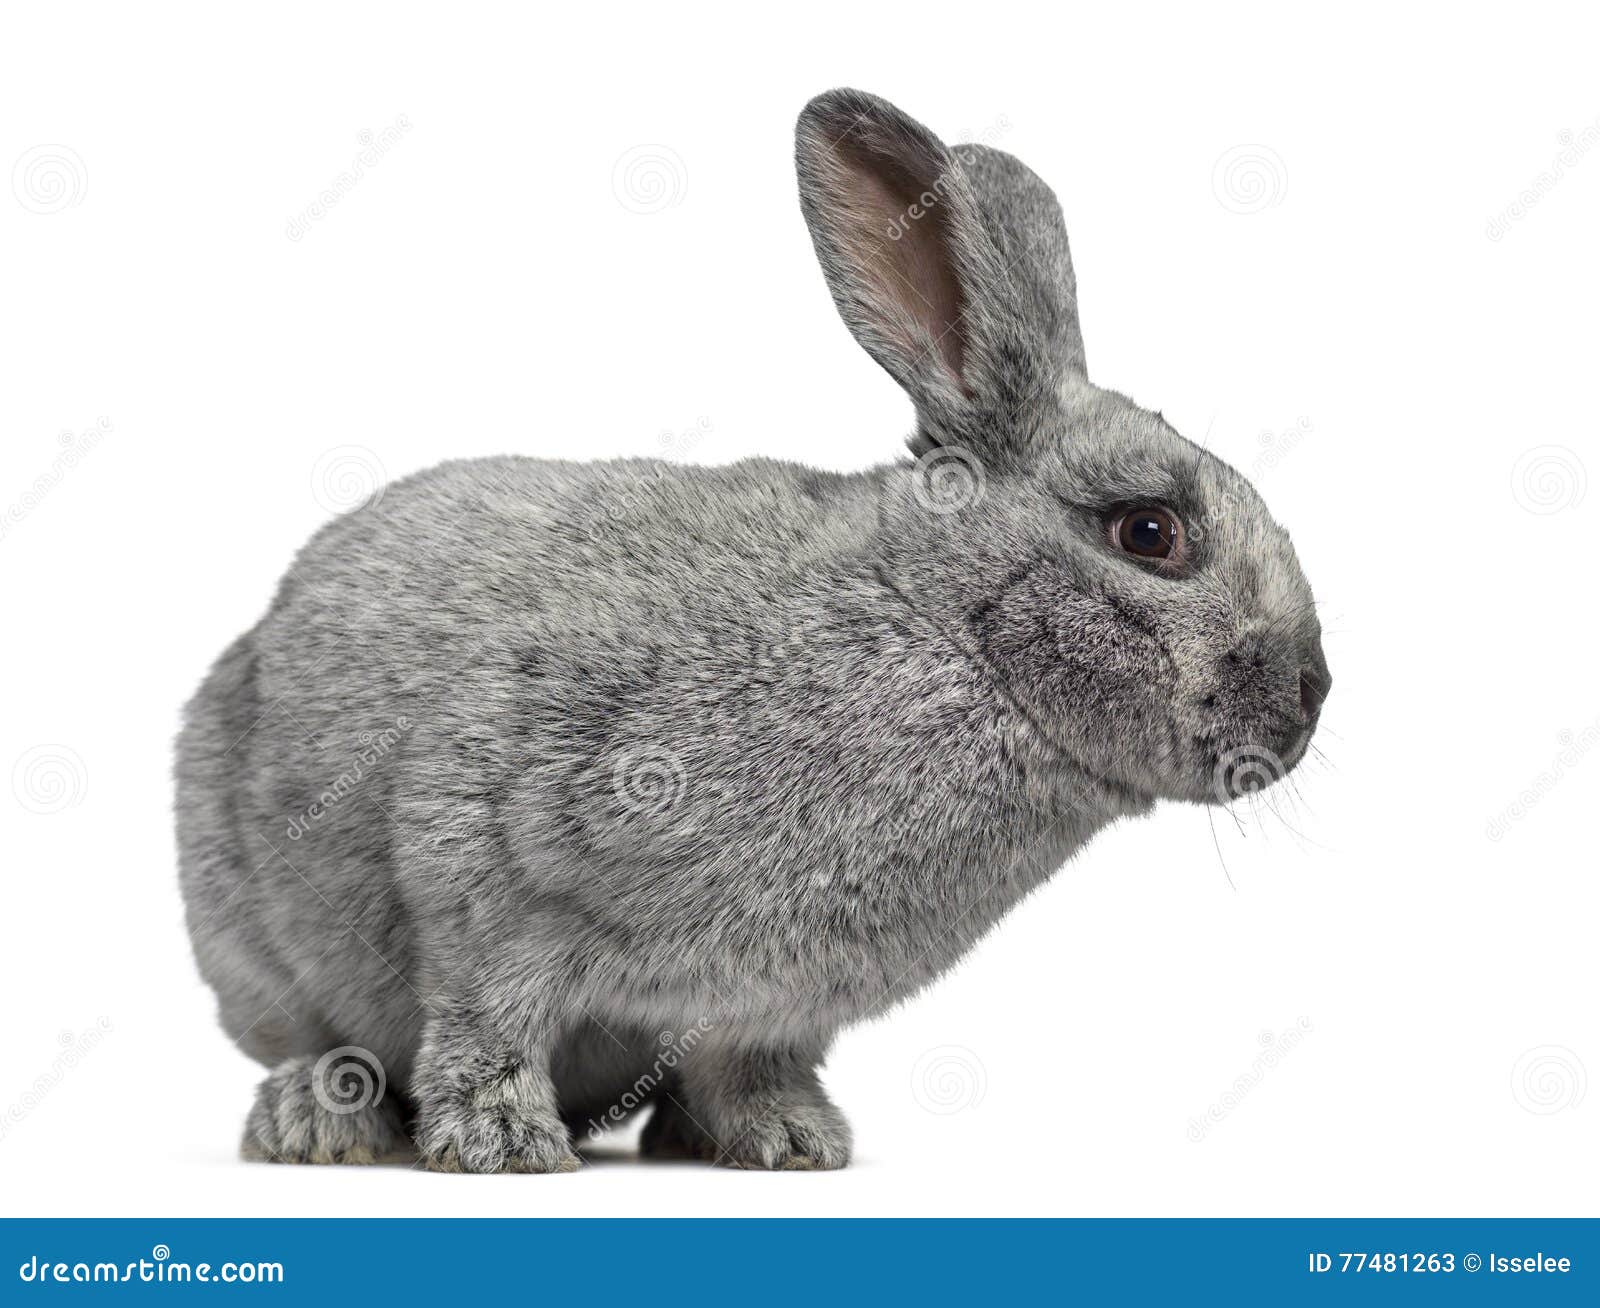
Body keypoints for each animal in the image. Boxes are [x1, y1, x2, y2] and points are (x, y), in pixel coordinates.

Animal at [176, 87, 1330, 1173]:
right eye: (1150, 532)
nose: (1310, 697)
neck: (940, 625)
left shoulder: (771, 1009)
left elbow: (749, 1066)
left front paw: (791, 1143)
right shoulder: (486, 854)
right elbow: (483, 1010)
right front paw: (501, 1146)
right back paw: (318, 1116)